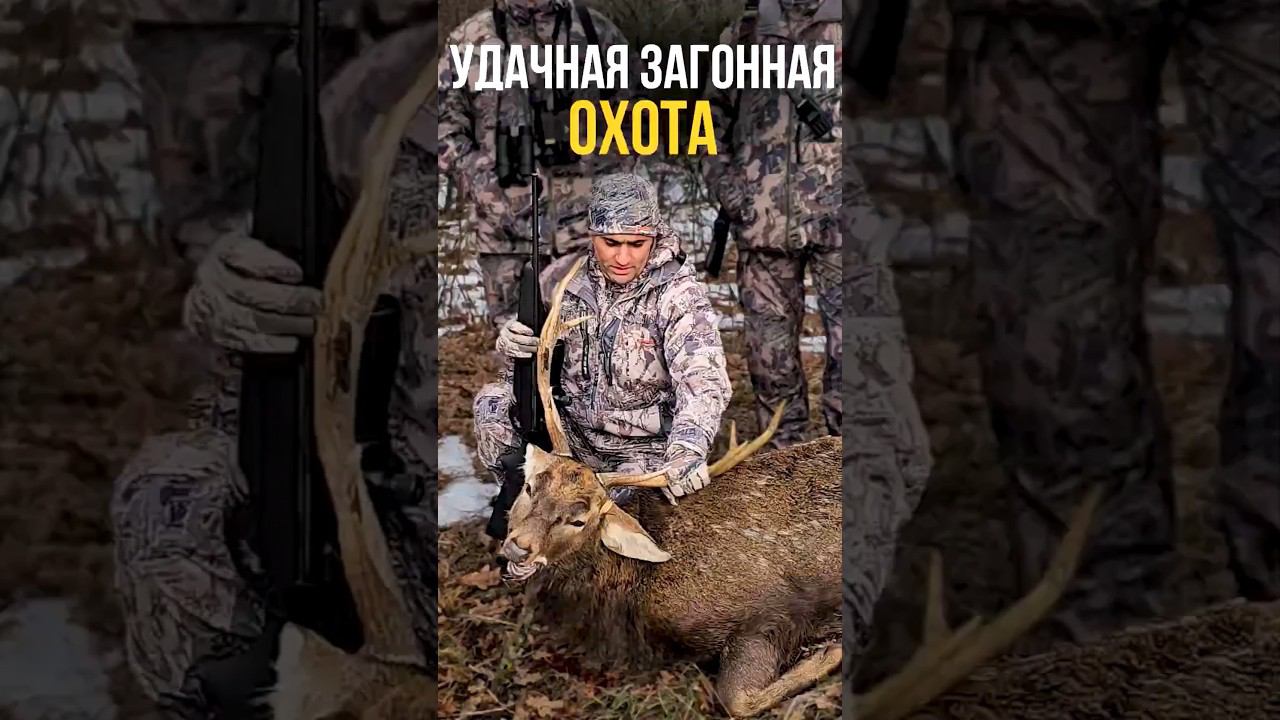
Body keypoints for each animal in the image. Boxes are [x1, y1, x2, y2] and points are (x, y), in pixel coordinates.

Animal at [494, 256, 1107, 718]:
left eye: (581, 514)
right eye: (529, 486)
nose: (514, 548)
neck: (632, 599)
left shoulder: (770, 612)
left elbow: (738, 696)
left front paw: (824, 661)